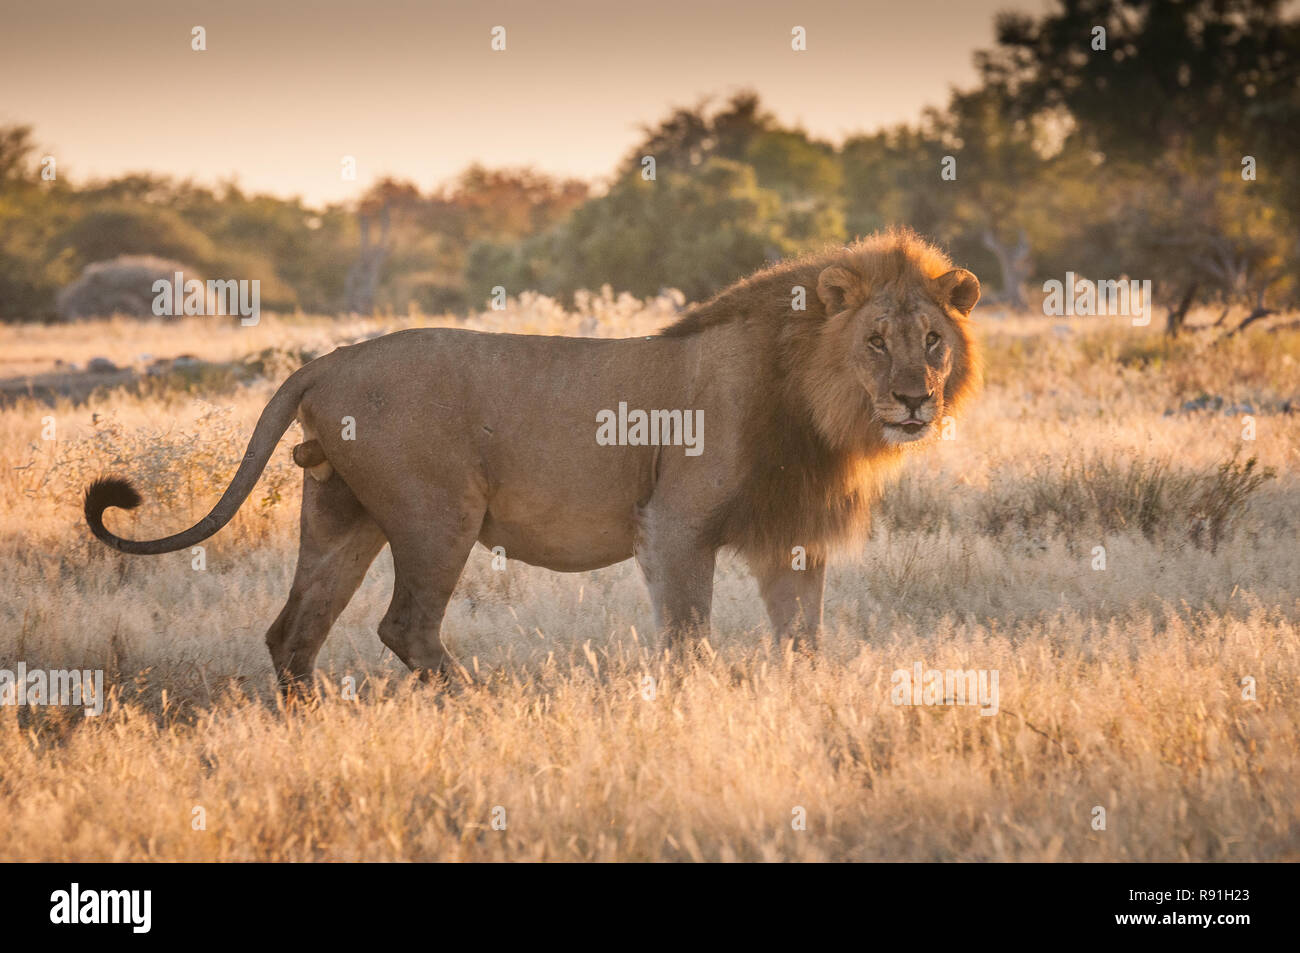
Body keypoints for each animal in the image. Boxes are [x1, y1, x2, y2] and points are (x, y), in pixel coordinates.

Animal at [84, 228, 980, 688]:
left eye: (933, 341)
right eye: (876, 340)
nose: (914, 400)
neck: (813, 402)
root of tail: (327, 359)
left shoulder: (791, 538)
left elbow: (803, 640)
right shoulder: (675, 525)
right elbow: (688, 636)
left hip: (342, 516)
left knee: (293, 633)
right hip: (438, 515)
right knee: (403, 626)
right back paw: (472, 706)